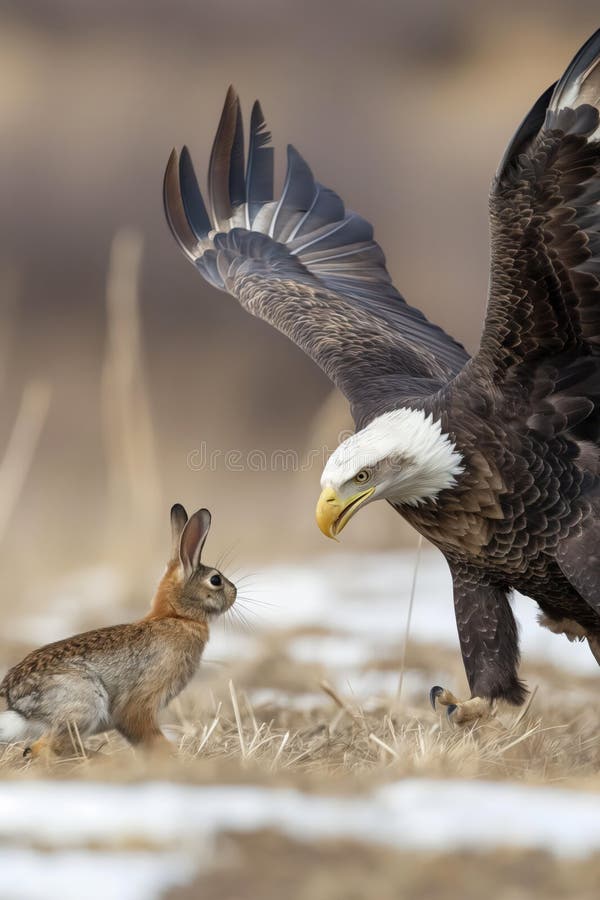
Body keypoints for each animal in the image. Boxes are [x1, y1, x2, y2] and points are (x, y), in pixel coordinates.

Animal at [0, 504, 236, 758]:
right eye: (215, 580)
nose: (235, 592)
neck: (176, 615)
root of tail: (13, 703)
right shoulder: (142, 699)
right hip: (86, 702)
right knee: (44, 748)